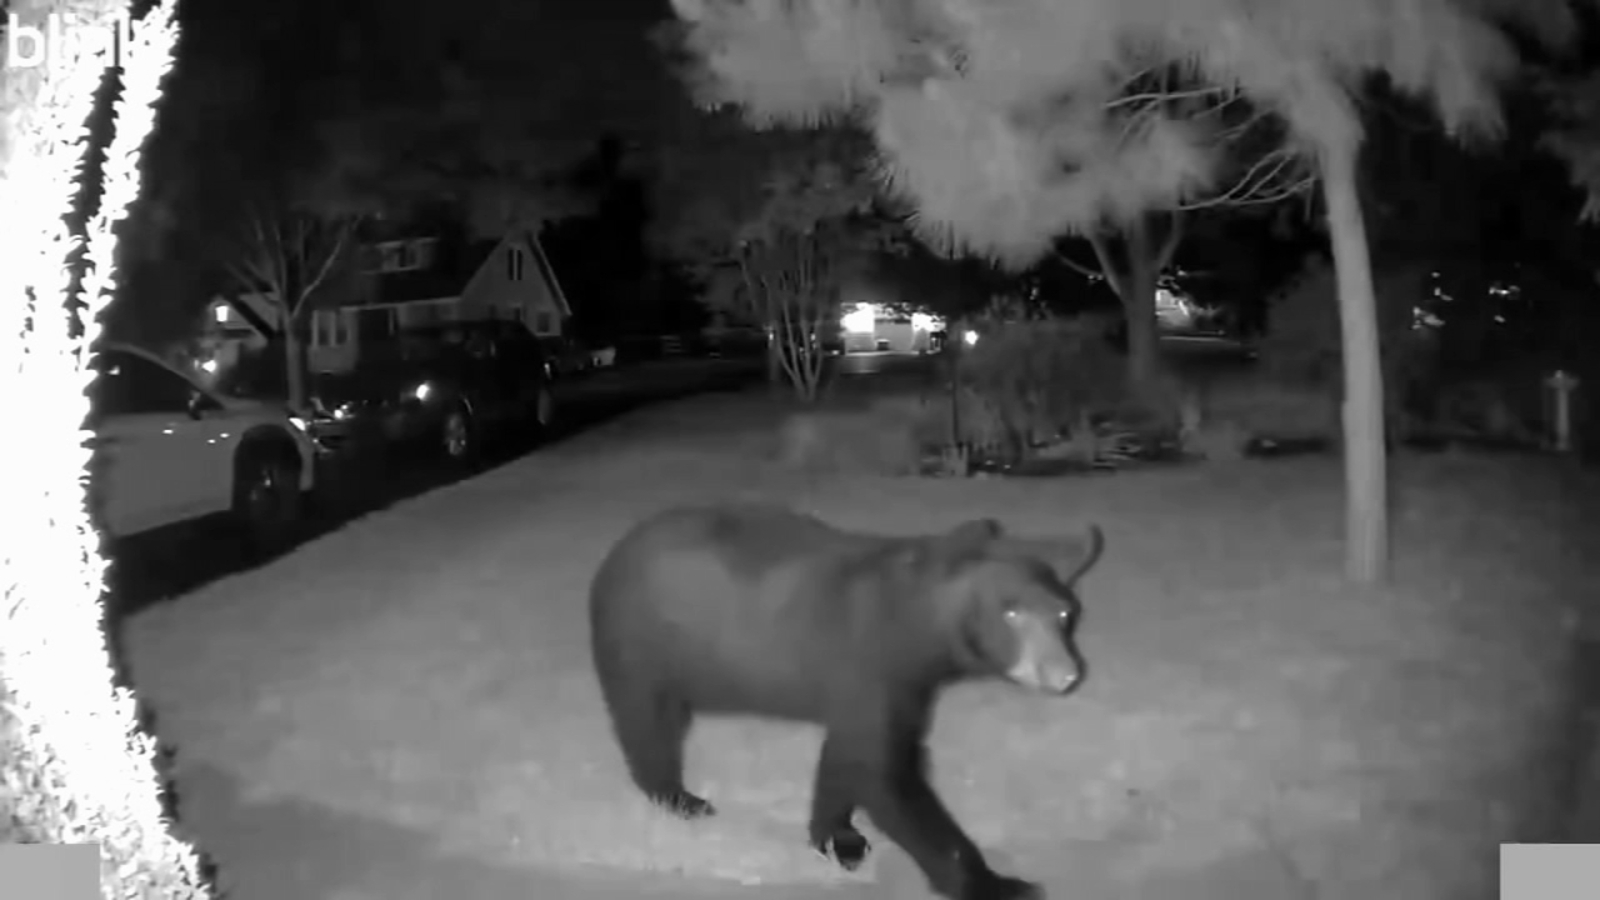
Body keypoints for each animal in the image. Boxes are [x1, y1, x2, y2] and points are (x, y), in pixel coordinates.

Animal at [587, 502, 1103, 900]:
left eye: (1064, 614)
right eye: (1011, 612)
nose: (1066, 674)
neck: (914, 622)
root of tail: (617, 550)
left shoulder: (898, 685)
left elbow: (847, 758)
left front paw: (838, 839)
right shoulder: (867, 664)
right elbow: (886, 775)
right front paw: (999, 884)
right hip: (638, 644)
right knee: (649, 724)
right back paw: (680, 798)